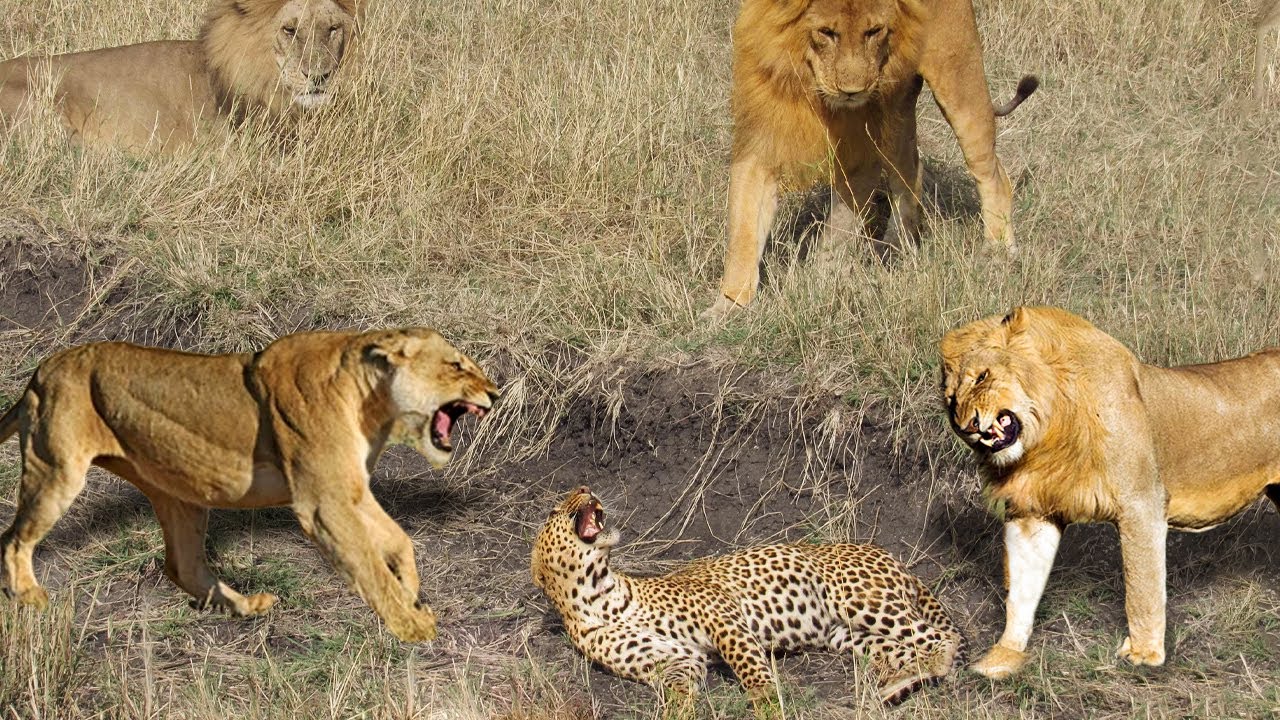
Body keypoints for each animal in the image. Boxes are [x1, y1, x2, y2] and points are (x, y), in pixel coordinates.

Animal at [0, 327, 499, 642]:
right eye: (457, 365)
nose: (495, 394)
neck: (370, 403)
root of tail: (40, 370)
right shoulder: (324, 503)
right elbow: (370, 567)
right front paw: (412, 627)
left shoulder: (351, 490)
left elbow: (399, 541)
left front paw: (414, 595)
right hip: (58, 469)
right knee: (12, 538)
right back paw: (29, 597)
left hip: (178, 494)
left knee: (182, 566)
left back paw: (245, 606)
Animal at [706, 0, 1037, 316]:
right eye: (826, 32)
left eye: (874, 32)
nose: (853, 91)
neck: (810, 88)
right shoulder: (761, 141)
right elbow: (743, 230)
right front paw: (728, 306)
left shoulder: (861, 155)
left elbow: (839, 231)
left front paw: (819, 284)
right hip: (898, 116)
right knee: (911, 171)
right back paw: (896, 246)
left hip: (957, 78)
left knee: (993, 173)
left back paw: (998, 252)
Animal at [940, 305, 1280, 678]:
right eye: (951, 401)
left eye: (982, 376)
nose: (967, 427)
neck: (1046, 439)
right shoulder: (1034, 513)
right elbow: (1021, 589)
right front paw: (1002, 657)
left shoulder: (1141, 504)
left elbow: (1142, 586)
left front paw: (1145, 655)